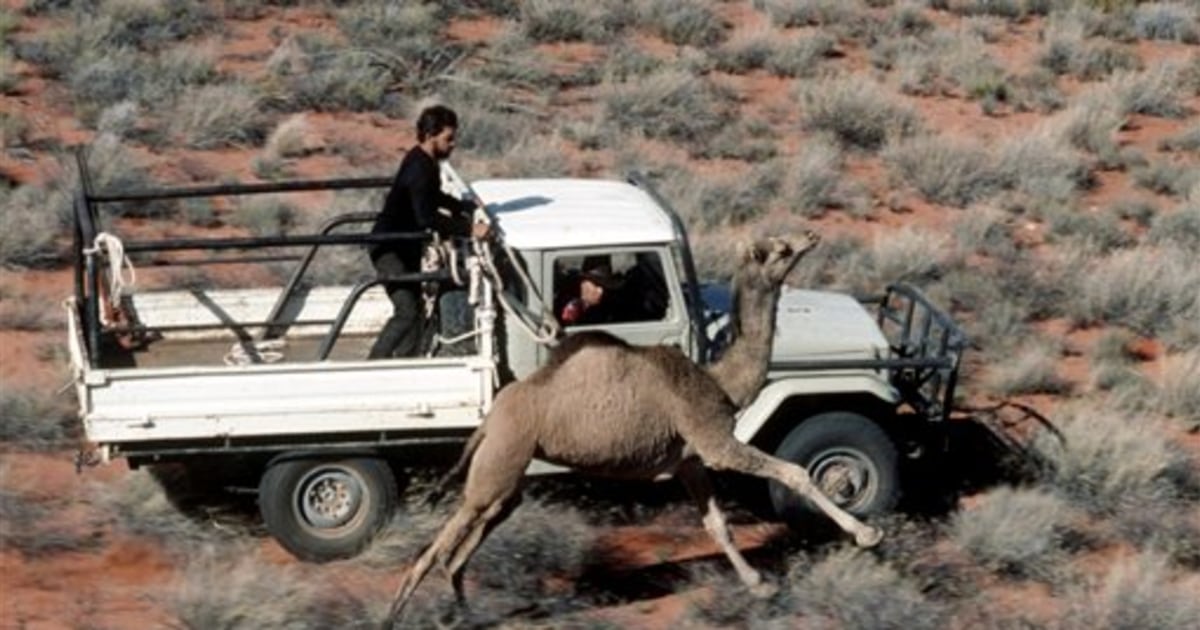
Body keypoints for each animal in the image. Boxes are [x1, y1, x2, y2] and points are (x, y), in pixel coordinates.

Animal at [387, 231, 882, 623]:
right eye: (780, 248)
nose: (810, 235)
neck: (718, 383)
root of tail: (491, 417)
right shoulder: (714, 440)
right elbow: (794, 472)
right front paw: (866, 534)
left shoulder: (689, 460)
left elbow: (717, 524)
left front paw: (760, 585)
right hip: (500, 461)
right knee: (437, 546)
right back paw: (395, 614)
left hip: (509, 469)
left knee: (464, 543)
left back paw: (463, 613)